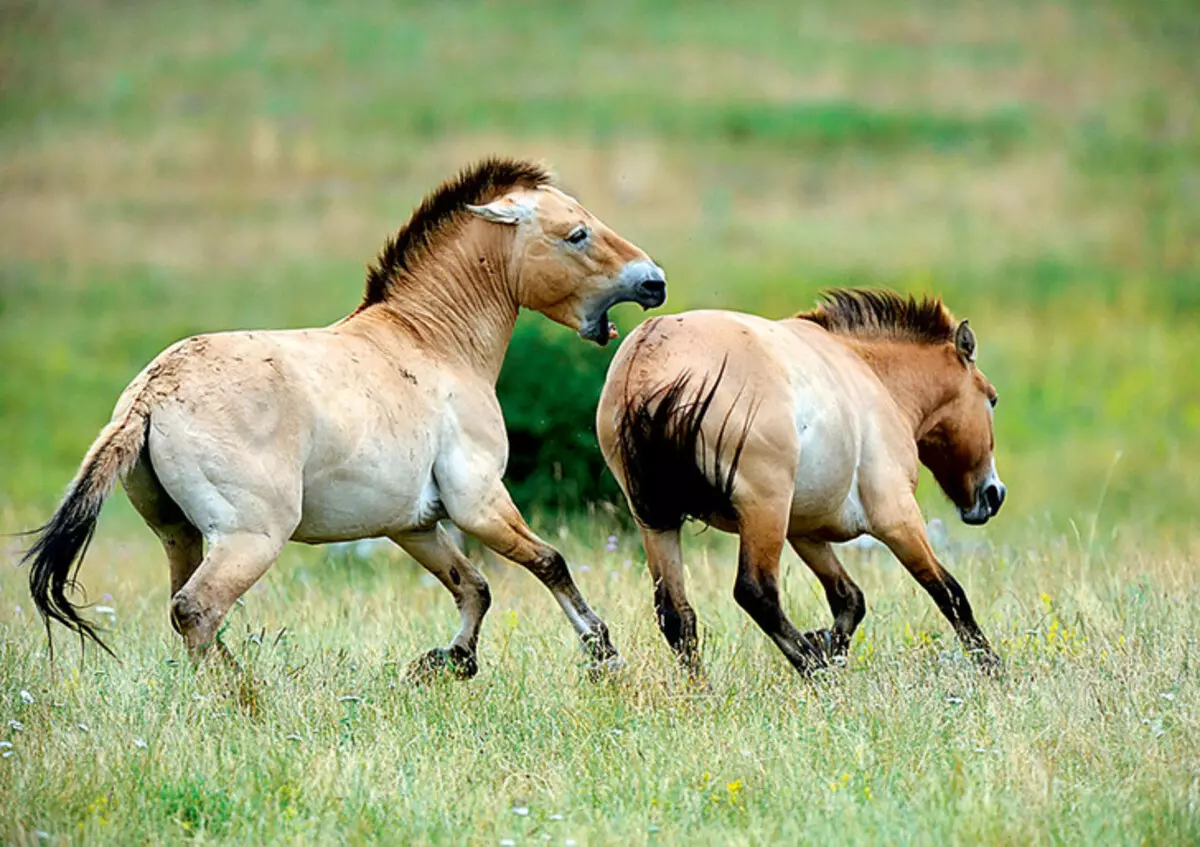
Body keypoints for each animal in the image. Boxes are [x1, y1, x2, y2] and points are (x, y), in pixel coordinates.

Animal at [25, 154, 667, 676]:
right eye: (576, 234)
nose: (653, 282)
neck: (431, 344)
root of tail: (150, 395)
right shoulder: (479, 502)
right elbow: (549, 563)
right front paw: (603, 653)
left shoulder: (413, 523)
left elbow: (474, 587)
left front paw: (450, 662)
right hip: (250, 537)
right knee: (197, 610)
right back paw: (243, 696)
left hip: (178, 533)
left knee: (184, 610)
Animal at [597, 286, 1003, 676]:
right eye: (992, 399)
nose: (994, 495)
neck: (873, 379)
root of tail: (649, 362)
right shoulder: (896, 517)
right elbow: (948, 593)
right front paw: (991, 667)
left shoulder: (806, 532)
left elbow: (849, 598)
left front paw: (830, 645)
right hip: (763, 511)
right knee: (756, 593)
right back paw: (812, 668)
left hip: (656, 520)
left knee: (676, 614)